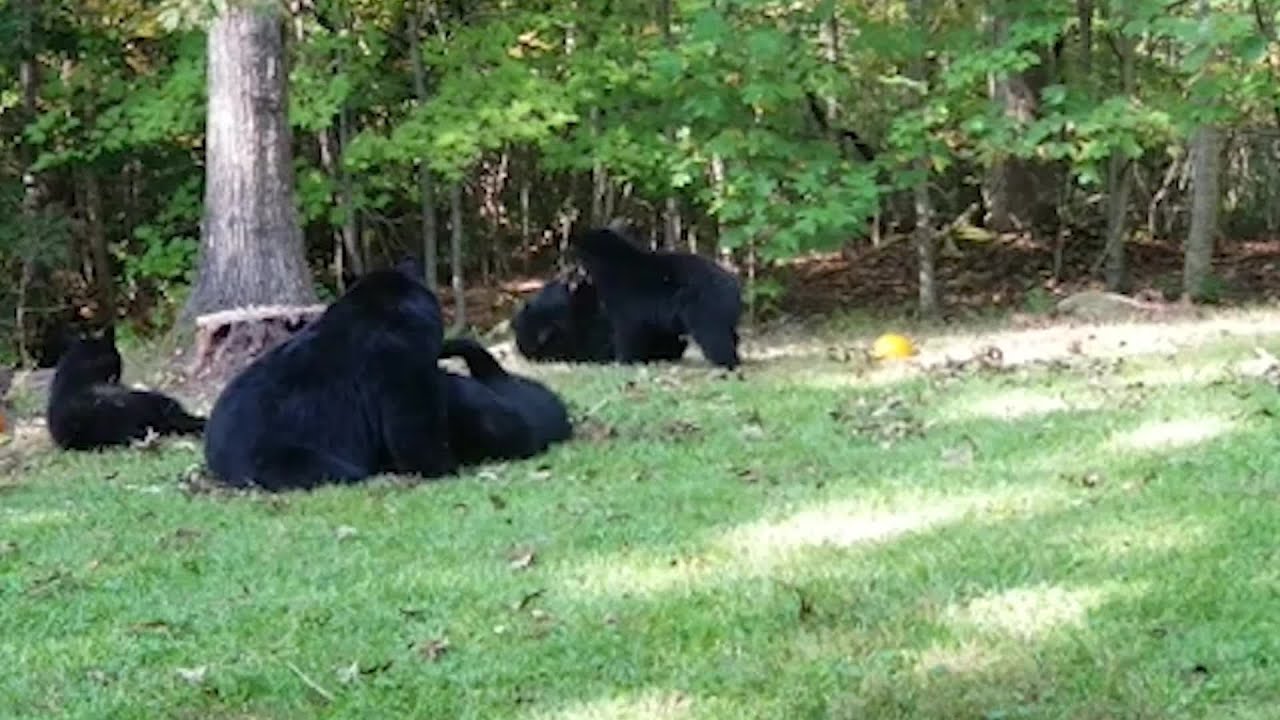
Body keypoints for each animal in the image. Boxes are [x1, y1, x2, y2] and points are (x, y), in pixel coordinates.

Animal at [571, 226, 743, 369]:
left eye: (577, 254)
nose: (572, 272)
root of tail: (734, 285)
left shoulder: (626, 301)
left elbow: (627, 329)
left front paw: (623, 360)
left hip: (705, 305)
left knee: (713, 334)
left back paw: (726, 362)